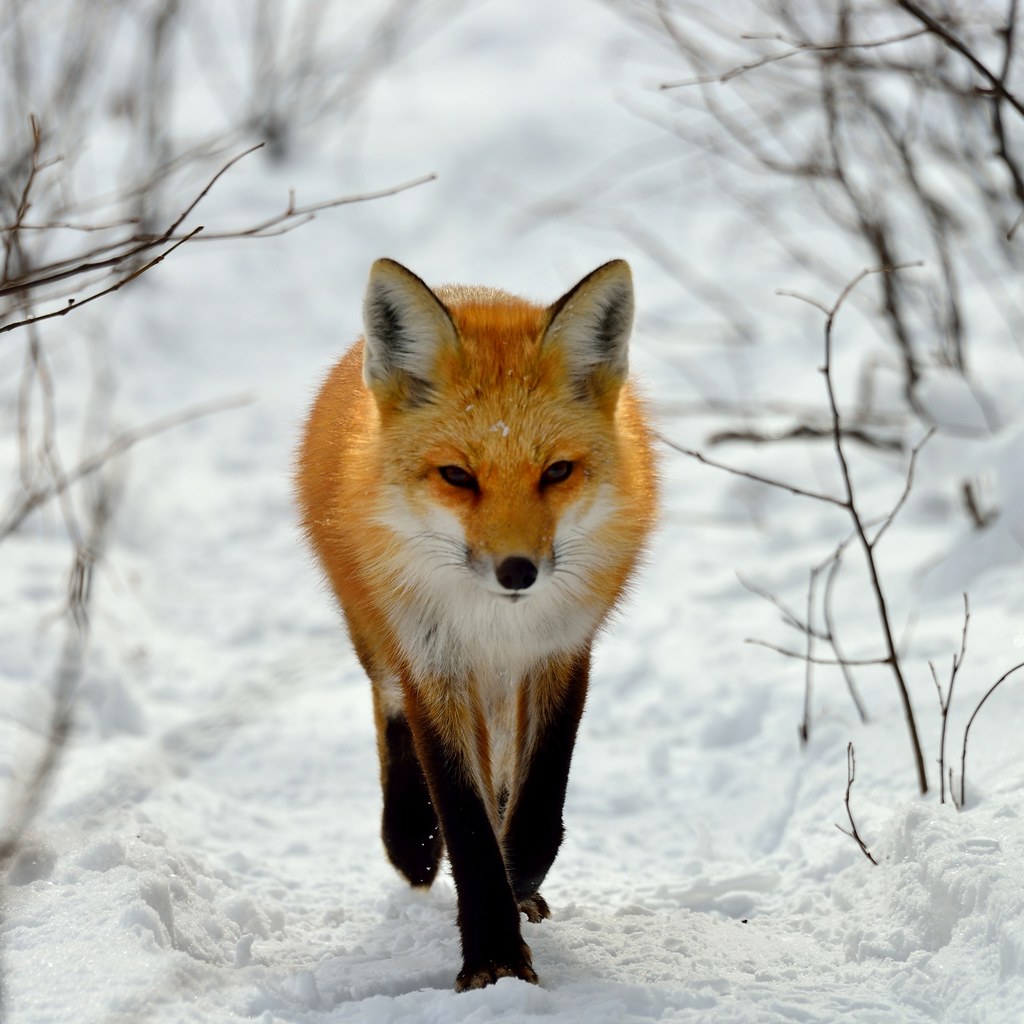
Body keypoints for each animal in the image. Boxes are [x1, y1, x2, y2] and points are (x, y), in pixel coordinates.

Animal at [295, 257, 658, 991]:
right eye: (458, 476)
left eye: (557, 471)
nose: (518, 572)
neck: (496, 625)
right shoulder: (434, 659)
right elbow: (463, 816)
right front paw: (492, 952)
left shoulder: (560, 648)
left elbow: (540, 793)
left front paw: (517, 883)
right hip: (381, 638)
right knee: (390, 713)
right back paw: (409, 840)